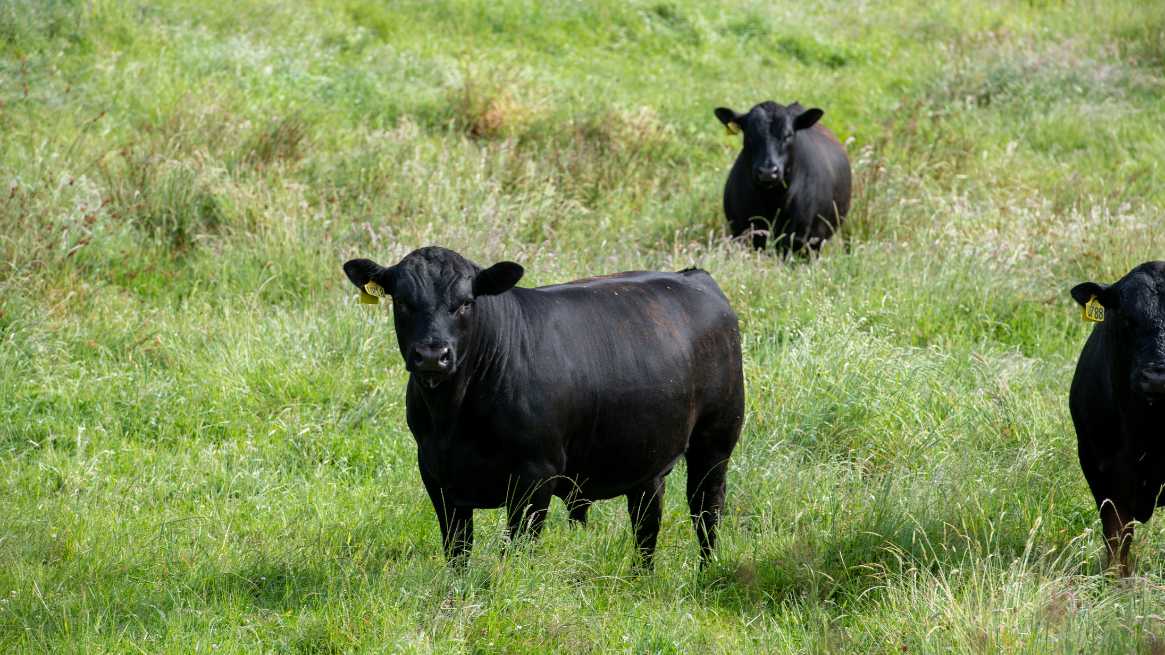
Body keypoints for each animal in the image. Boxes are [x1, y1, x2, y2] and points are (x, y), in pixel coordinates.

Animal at [343, 246, 745, 567]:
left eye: (466, 302)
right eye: (402, 301)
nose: (431, 355)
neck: (453, 416)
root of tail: (694, 276)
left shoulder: (536, 474)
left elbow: (516, 548)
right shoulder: (435, 473)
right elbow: (457, 549)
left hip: (716, 439)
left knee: (706, 509)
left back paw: (705, 573)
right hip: (647, 454)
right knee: (647, 519)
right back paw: (641, 576)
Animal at [714, 100, 852, 254]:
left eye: (788, 135)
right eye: (749, 135)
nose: (768, 172)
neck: (773, 199)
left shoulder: (807, 237)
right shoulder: (745, 233)